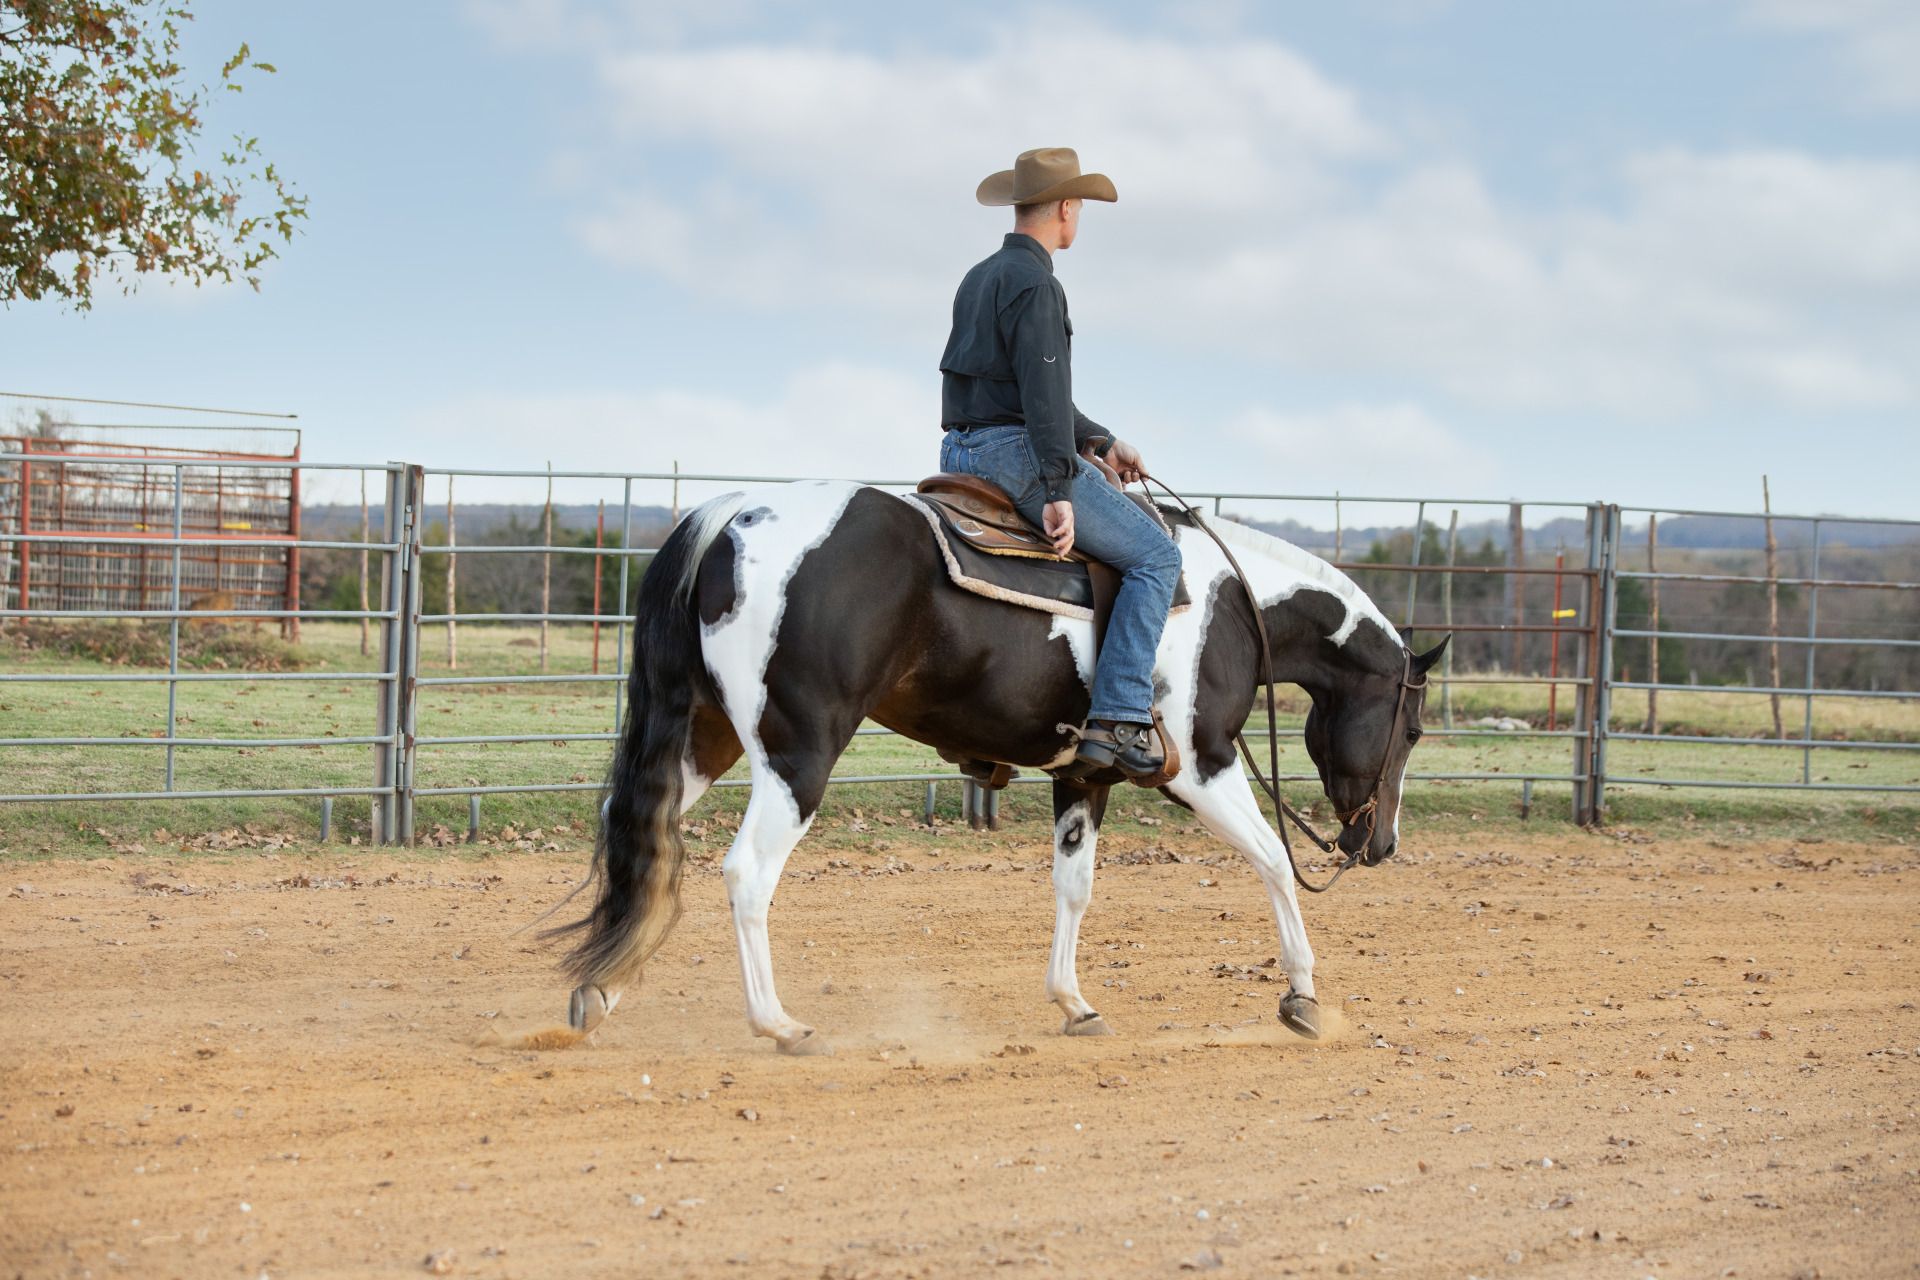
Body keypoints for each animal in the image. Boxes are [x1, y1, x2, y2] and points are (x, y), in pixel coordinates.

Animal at [553, 479, 1444, 1055]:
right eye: (1413, 728)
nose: (1382, 845)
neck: (1232, 603)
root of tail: (731, 516)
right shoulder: (1203, 770)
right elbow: (1275, 864)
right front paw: (1304, 997)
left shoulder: (1083, 776)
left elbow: (1074, 888)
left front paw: (1075, 1004)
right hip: (797, 751)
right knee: (745, 871)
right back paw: (777, 1023)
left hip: (705, 738)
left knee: (642, 837)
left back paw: (603, 986)